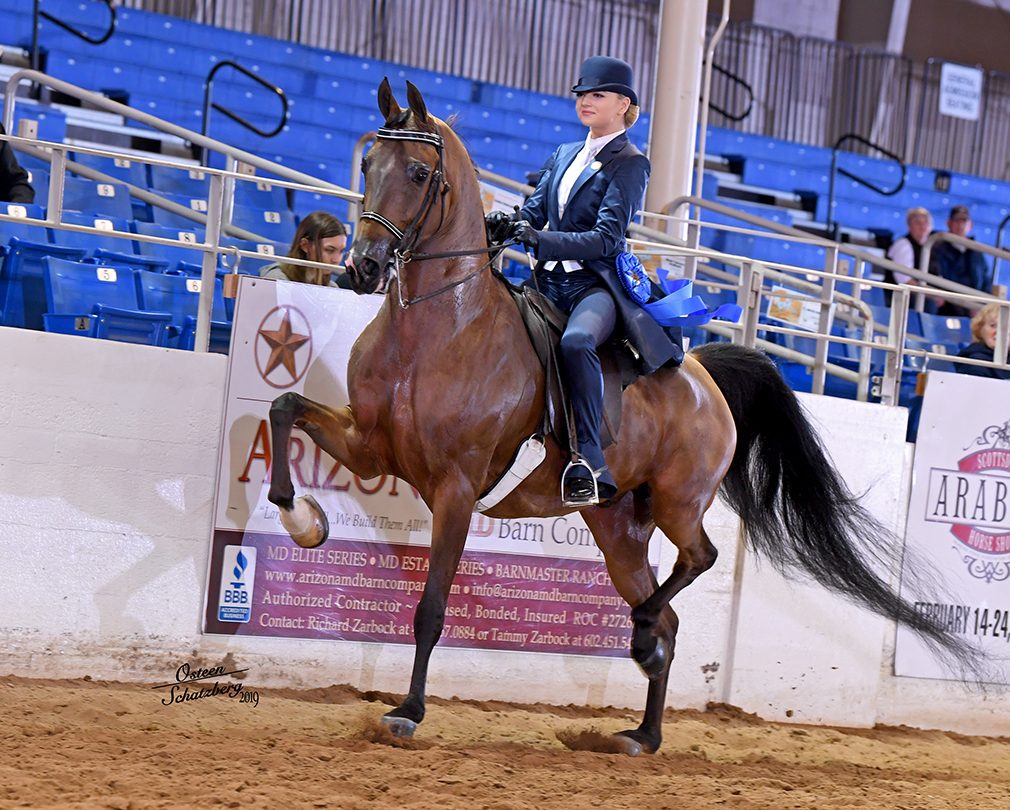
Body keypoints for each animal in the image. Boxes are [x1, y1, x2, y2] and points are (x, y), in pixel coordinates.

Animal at [266, 79, 974, 755]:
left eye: (417, 172)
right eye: (367, 163)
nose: (362, 267)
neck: (439, 328)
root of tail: (701, 372)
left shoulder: (456, 490)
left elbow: (432, 608)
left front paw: (408, 712)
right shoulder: (370, 445)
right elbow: (283, 408)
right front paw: (304, 521)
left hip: (677, 501)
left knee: (700, 560)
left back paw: (639, 652)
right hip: (618, 527)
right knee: (671, 619)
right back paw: (640, 731)